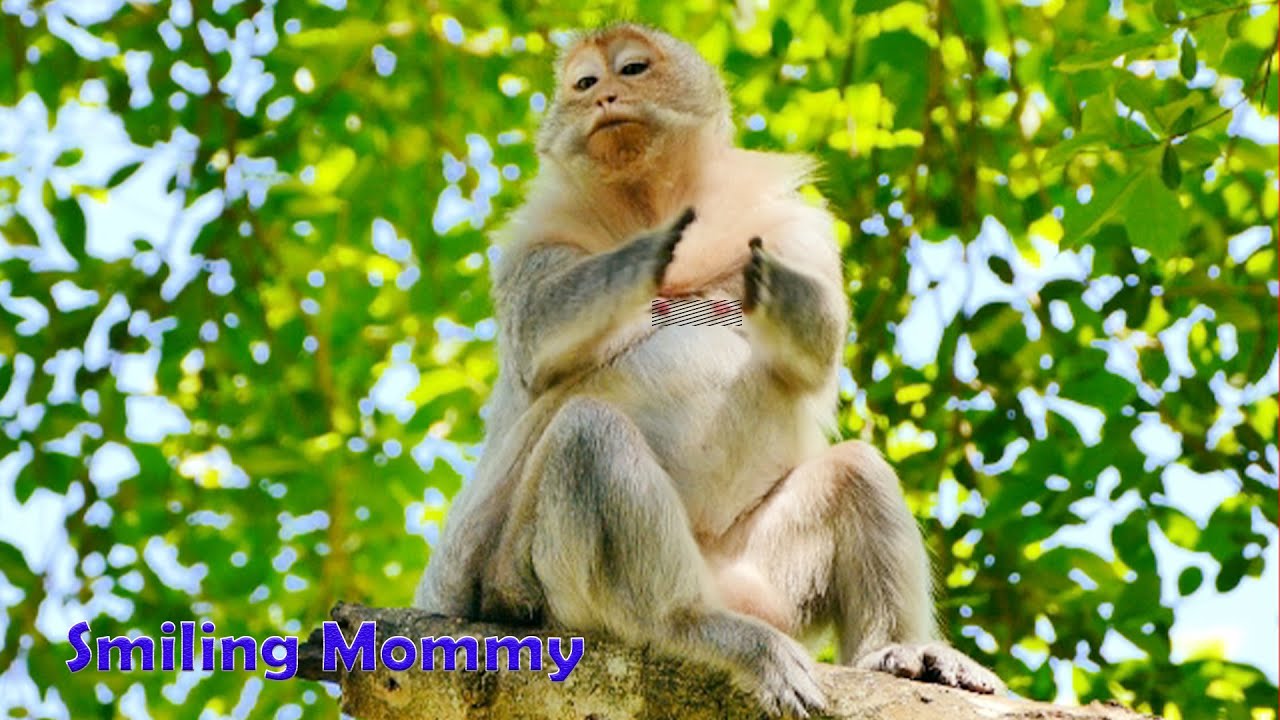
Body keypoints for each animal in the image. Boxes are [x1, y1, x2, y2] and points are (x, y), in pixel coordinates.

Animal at [414, 23, 1004, 716]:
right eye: (585, 82)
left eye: (632, 70)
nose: (604, 96)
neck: (645, 197)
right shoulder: (531, 243)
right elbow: (536, 339)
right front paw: (654, 250)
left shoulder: (793, 223)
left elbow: (816, 358)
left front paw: (774, 288)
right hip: (523, 579)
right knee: (590, 435)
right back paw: (692, 626)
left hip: (761, 577)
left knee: (854, 471)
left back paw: (897, 650)